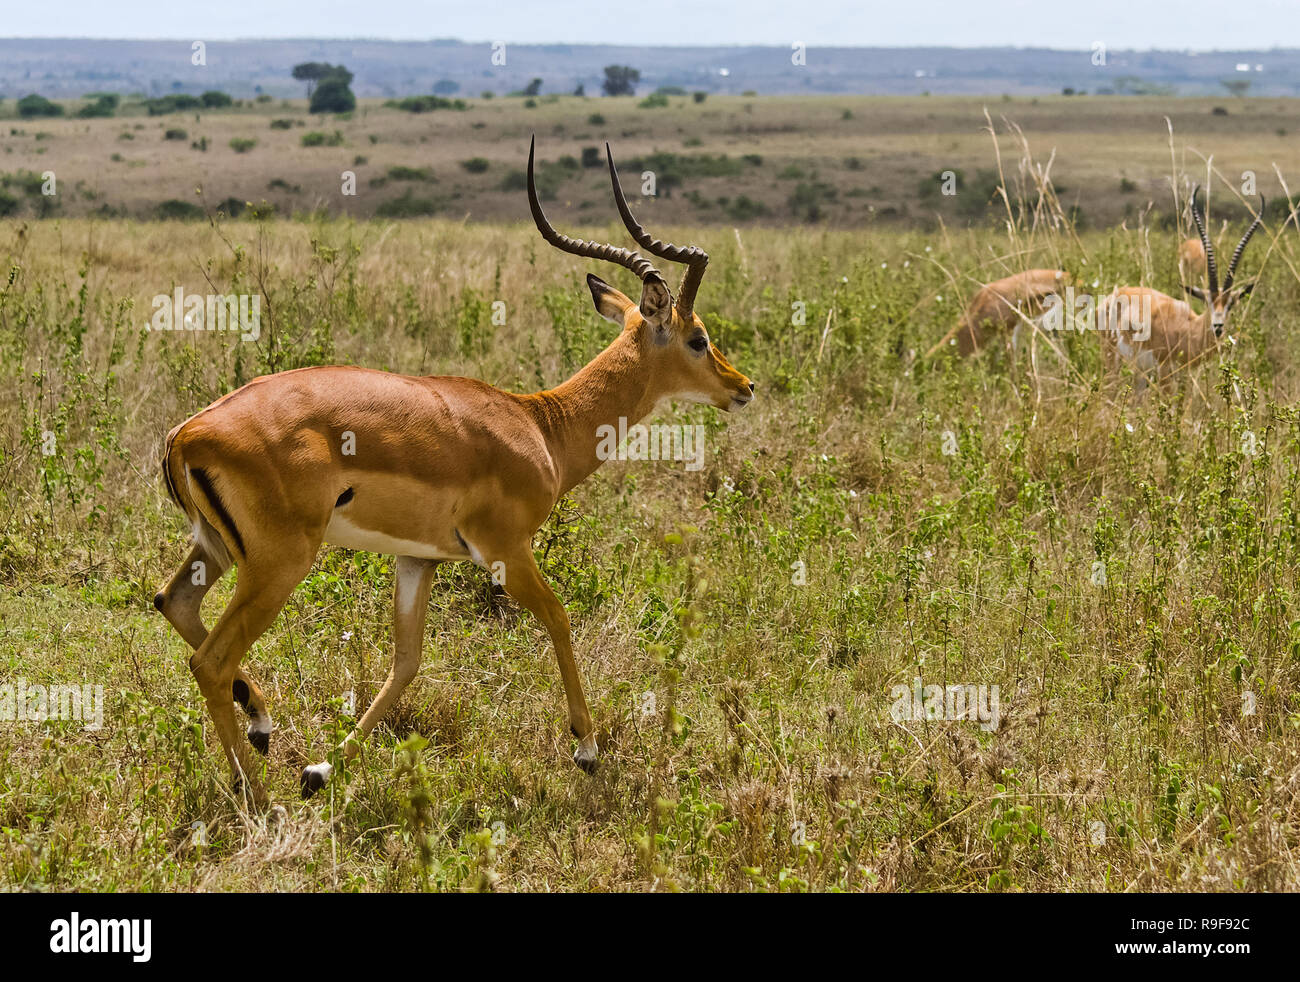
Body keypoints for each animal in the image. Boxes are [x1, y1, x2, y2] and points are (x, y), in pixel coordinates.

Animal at [154, 138, 755, 802]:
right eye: (698, 338)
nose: (744, 387)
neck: (540, 425)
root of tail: (188, 432)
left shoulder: (418, 559)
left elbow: (407, 661)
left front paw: (322, 769)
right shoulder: (505, 549)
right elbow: (559, 617)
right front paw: (587, 750)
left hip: (219, 549)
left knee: (172, 604)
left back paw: (261, 723)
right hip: (279, 562)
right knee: (210, 660)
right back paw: (261, 797)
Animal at [1100, 185, 1263, 386]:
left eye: (1230, 304)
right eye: (1207, 302)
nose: (1218, 326)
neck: (1187, 329)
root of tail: (1112, 296)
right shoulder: (1165, 373)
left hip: (1140, 375)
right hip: (1113, 362)